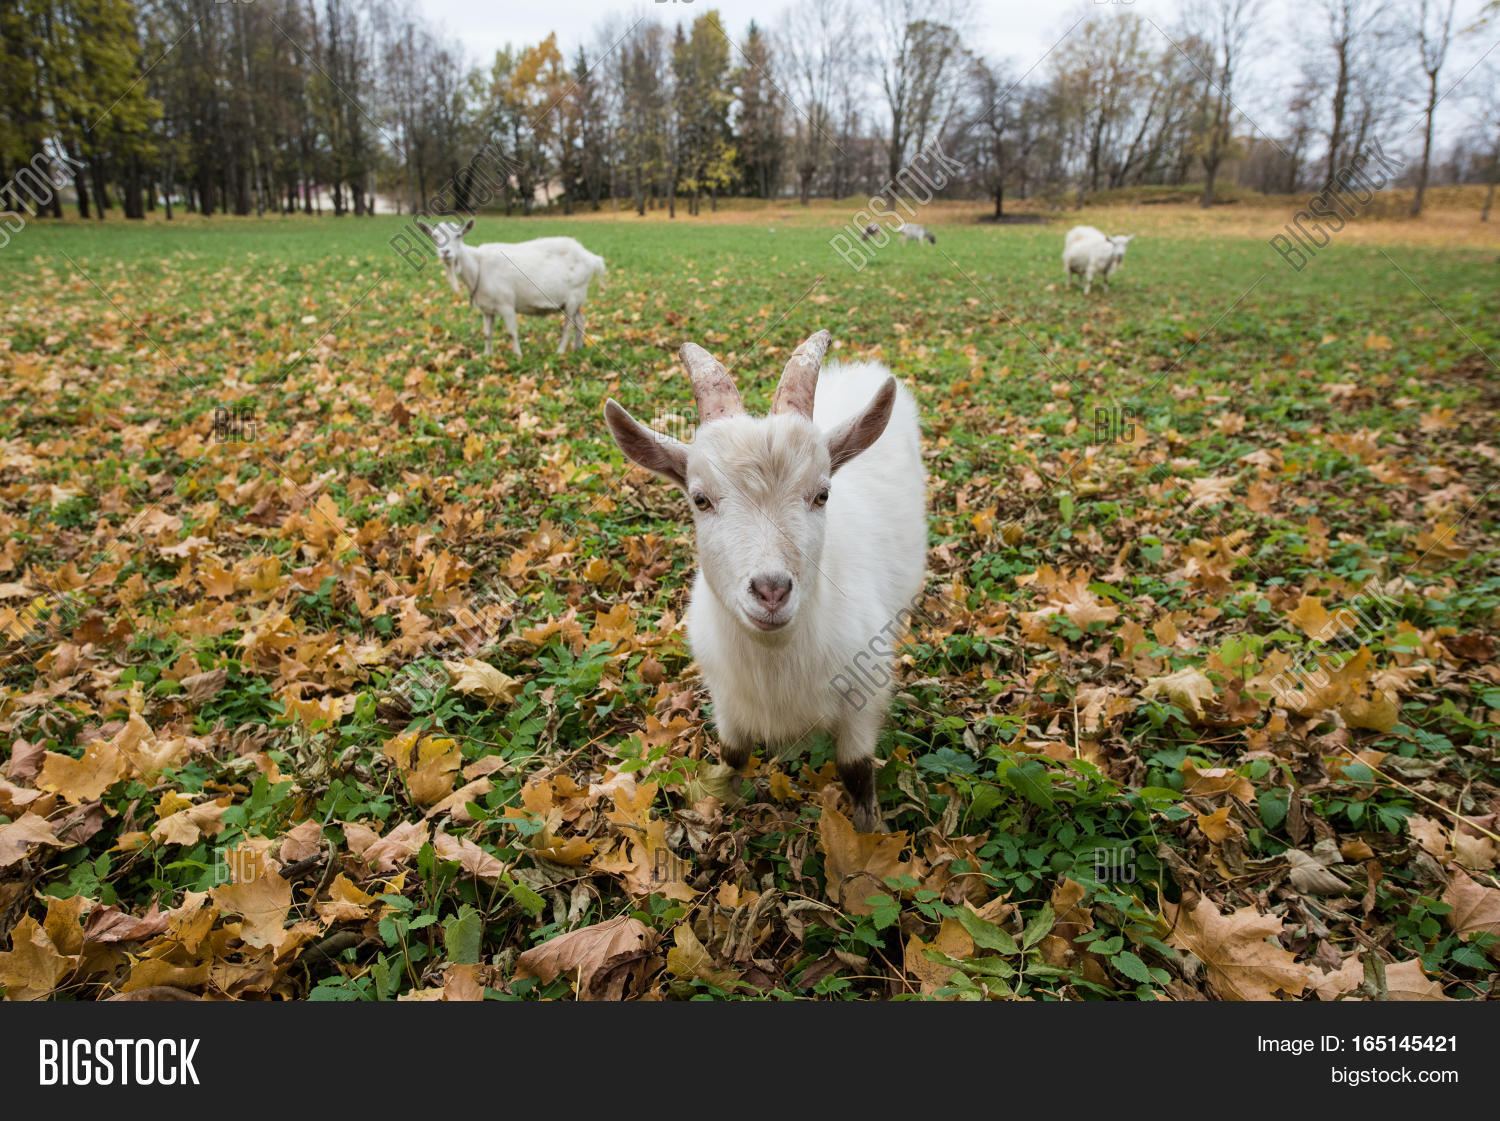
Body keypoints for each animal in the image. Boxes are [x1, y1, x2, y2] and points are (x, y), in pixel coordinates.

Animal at [416, 218, 606, 356]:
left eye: (458, 235)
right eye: (434, 236)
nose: (445, 253)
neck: (478, 266)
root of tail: (591, 258)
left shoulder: (506, 304)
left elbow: (511, 332)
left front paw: (518, 356)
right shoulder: (487, 309)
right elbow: (487, 333)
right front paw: (487, 356)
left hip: (575, 295)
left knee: (568, 325)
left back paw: (560, 351)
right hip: (576, 300)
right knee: (580, 321)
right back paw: (577, 348)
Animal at [603, 331, 927, 832]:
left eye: (822, 493)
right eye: (700, 499)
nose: (771, 591)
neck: (777, 659)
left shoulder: (862, 699)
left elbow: (856, 771)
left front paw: (869, 839)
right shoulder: (728, 697)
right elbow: (732, 757)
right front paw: (725, 810)